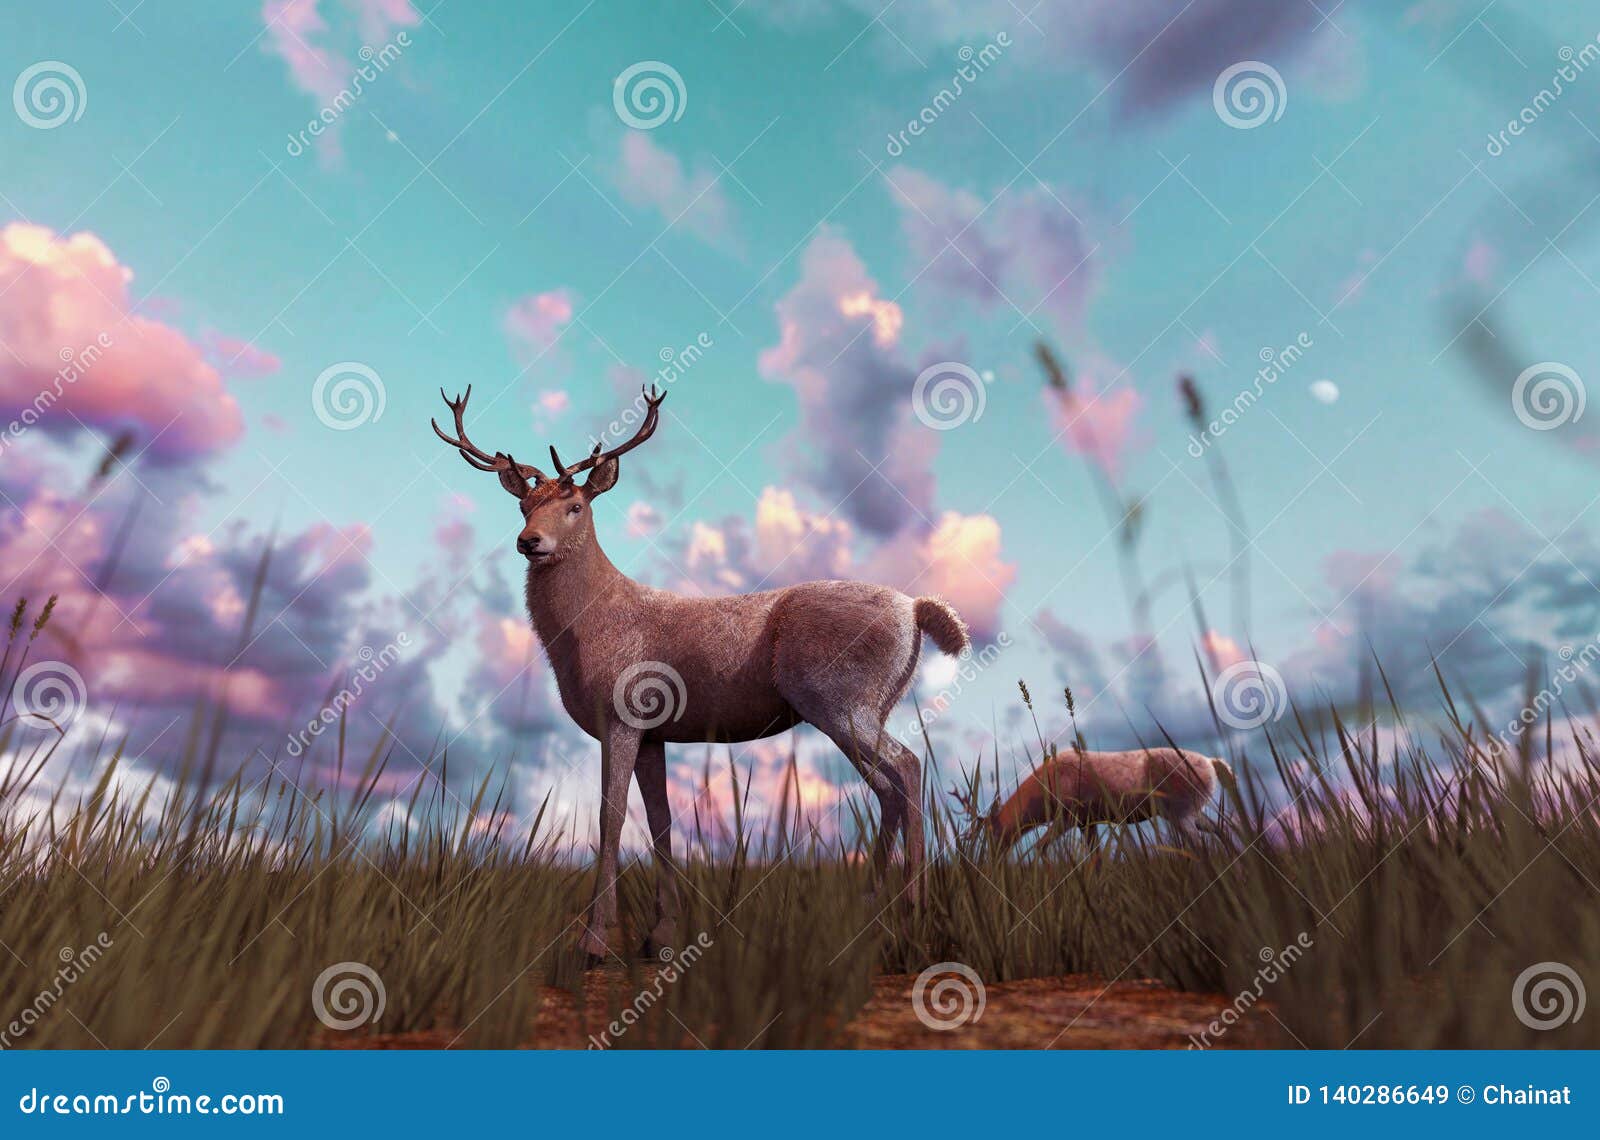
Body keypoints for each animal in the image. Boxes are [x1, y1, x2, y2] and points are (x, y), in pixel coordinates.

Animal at [433, 385, 970, 962]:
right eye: (523, 505)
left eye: (575, 507)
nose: (529, 541)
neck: (590, 630)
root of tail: (915, 609)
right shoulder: (653, 732)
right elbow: (661, 819)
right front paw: (661, 933)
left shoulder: (623, 715)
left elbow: (610, 816)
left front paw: (594, 941)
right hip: (857, 706)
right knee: (887, 786)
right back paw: (870, 911)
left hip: (843, 700)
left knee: (907, 765)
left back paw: (913, 913)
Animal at [952, 747, 1233, 854]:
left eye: (991, 833)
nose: (990, 861)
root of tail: (1212, 762)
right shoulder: (1087, 823)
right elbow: (1095, 859)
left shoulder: (1068, 817)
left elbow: (1041, 847)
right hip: (1191, 812)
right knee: (1223, 828)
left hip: (1180, 813)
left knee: (1202, 844)